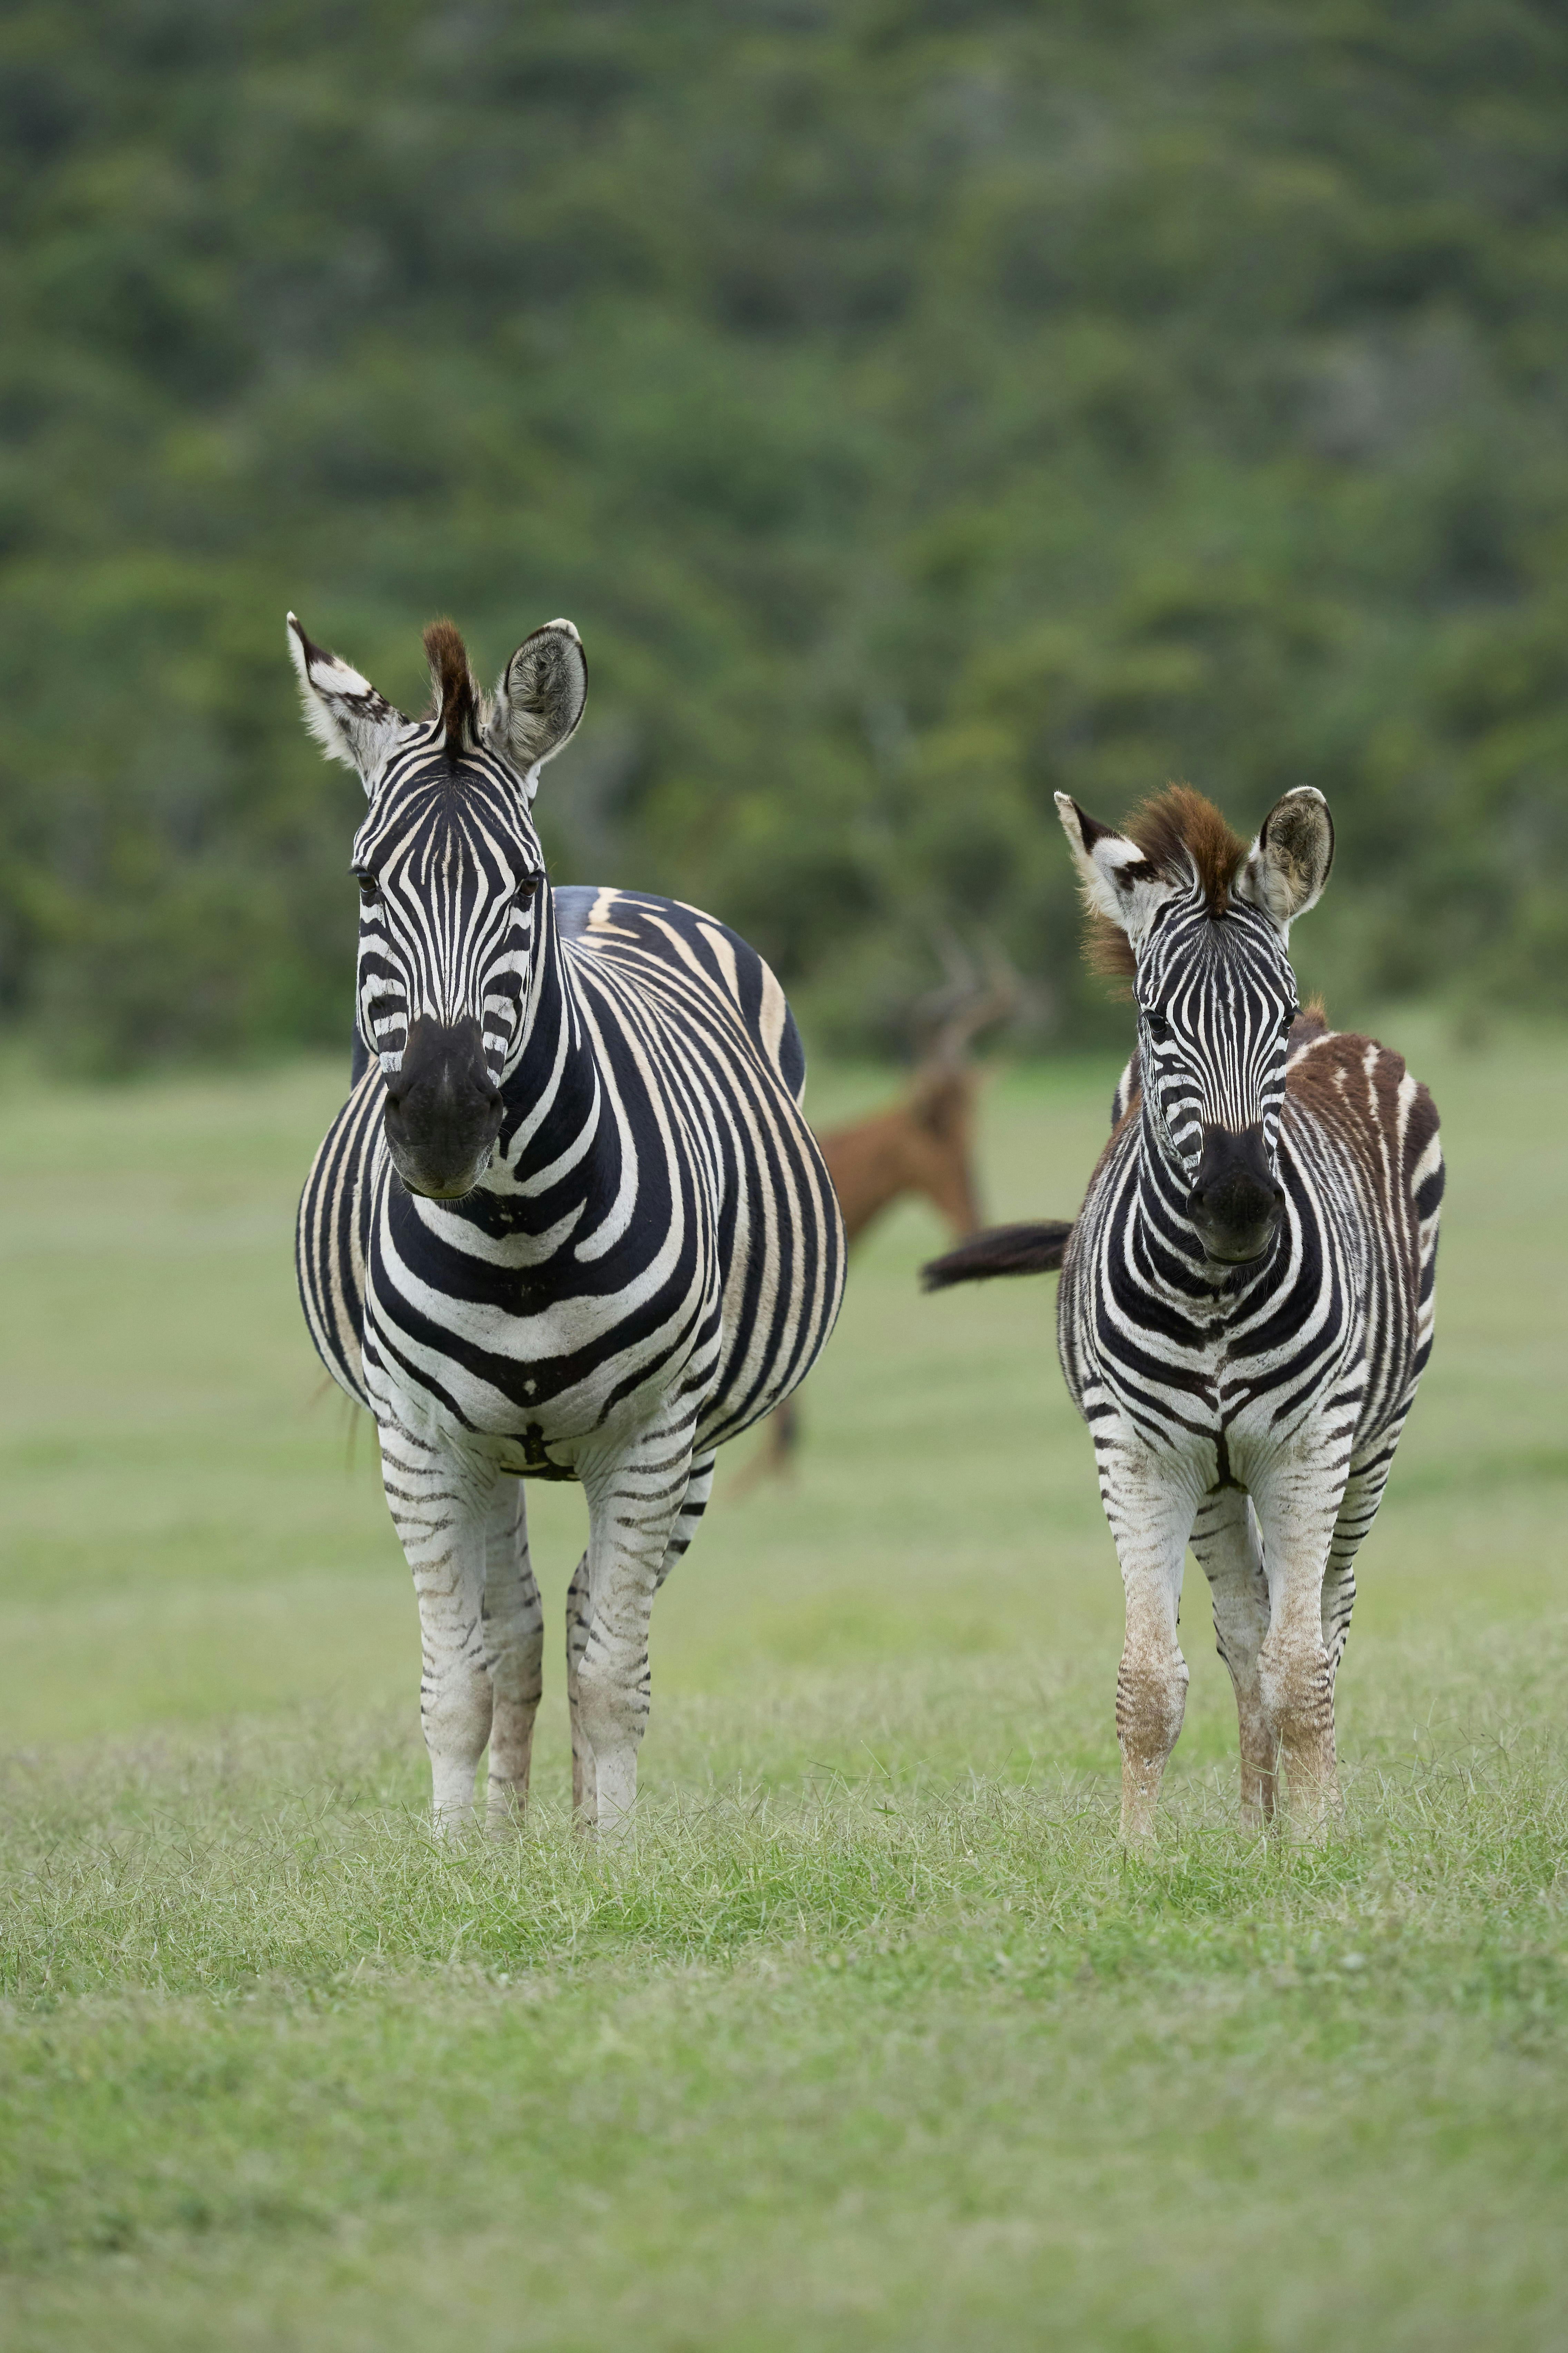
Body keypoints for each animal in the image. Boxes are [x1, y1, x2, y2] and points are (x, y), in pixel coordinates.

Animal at [290, 612, 845, 1832]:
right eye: (365, 881)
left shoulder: (652, 1435)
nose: (444, 1118)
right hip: (486, 1448)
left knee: (591, 1612)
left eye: (521, 884)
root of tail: (608, 888)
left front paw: (610, 1857)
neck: (517, 1235)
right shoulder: (417, 1437)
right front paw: (461, 1861)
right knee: (517, 1627)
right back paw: (505, 1834)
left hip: (691, 1444)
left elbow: (610, 1674)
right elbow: (459, 1676)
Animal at [924, 784, 1442, 1839]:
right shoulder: (1139, 1452)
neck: (1213, 1292)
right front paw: (1140, 1854)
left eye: (1273, 1017)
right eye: (1156, 1019)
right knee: (1245, 1625)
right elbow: (1152, 1679)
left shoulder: (1310, 1445)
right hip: (1215, 1479)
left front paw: (1319, 1845)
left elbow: (1303, 1670)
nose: (1240, 1203)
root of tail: (1338, 1026)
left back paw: (1308, 1816)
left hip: (1372, 1443)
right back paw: (1253, 1827)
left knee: (1326, 1618)